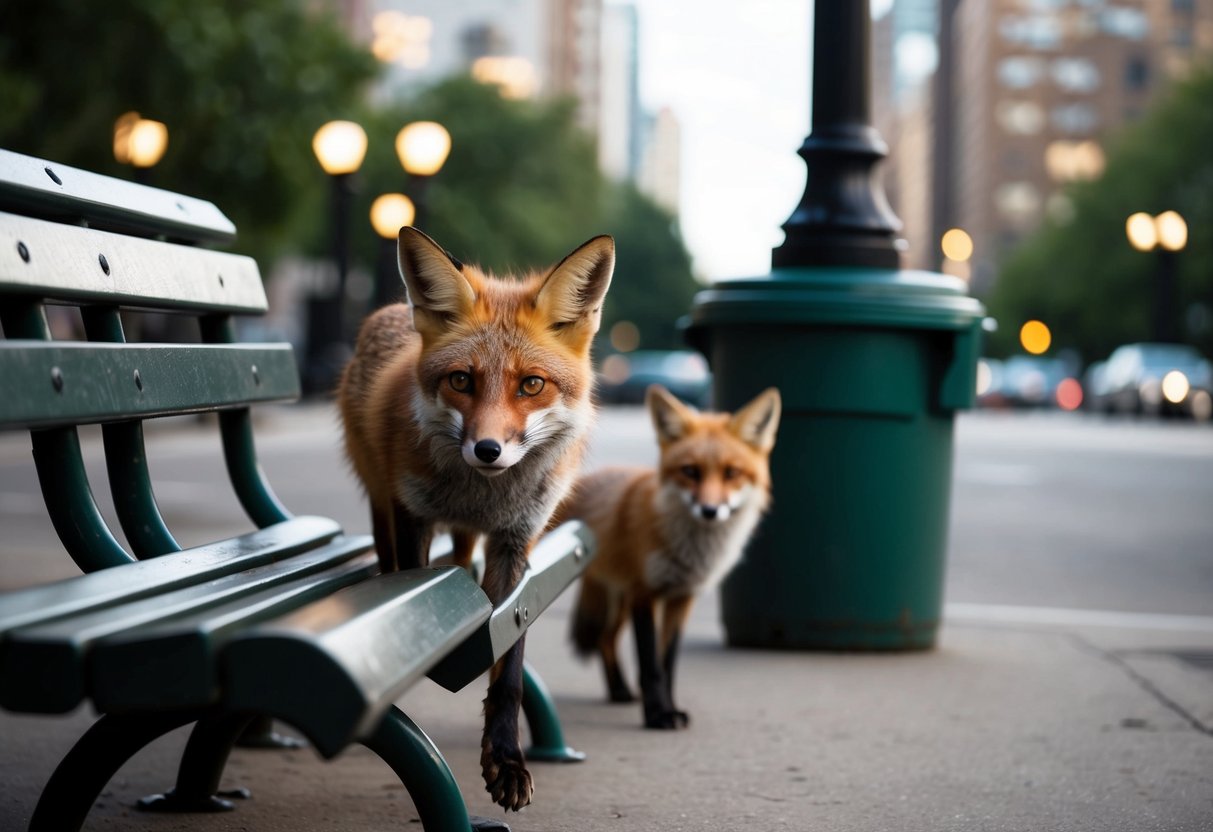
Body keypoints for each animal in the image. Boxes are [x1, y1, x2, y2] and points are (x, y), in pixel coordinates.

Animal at [337, 226, 614, 812]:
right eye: (462, 380)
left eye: (531, 385)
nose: (487, 450)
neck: (480, 499)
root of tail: (391, 310)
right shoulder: (411, 517)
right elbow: (417, 588)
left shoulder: (515, 543)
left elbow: (507, 664)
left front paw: (505, 758)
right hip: (379, 496)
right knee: (393, 556)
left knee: (464, 563)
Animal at [554, 384, 781, 730]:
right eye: (690, 472)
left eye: (732, 473)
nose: (710, 511)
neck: (689, 552)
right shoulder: (644, 594)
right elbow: (651, 666)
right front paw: (657, 716)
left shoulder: (680, 598)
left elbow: (667, 665)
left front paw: (669, 708)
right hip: (623, 599)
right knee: (604, 639)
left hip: (620, 600)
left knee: (605, 640)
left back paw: (619, 691)